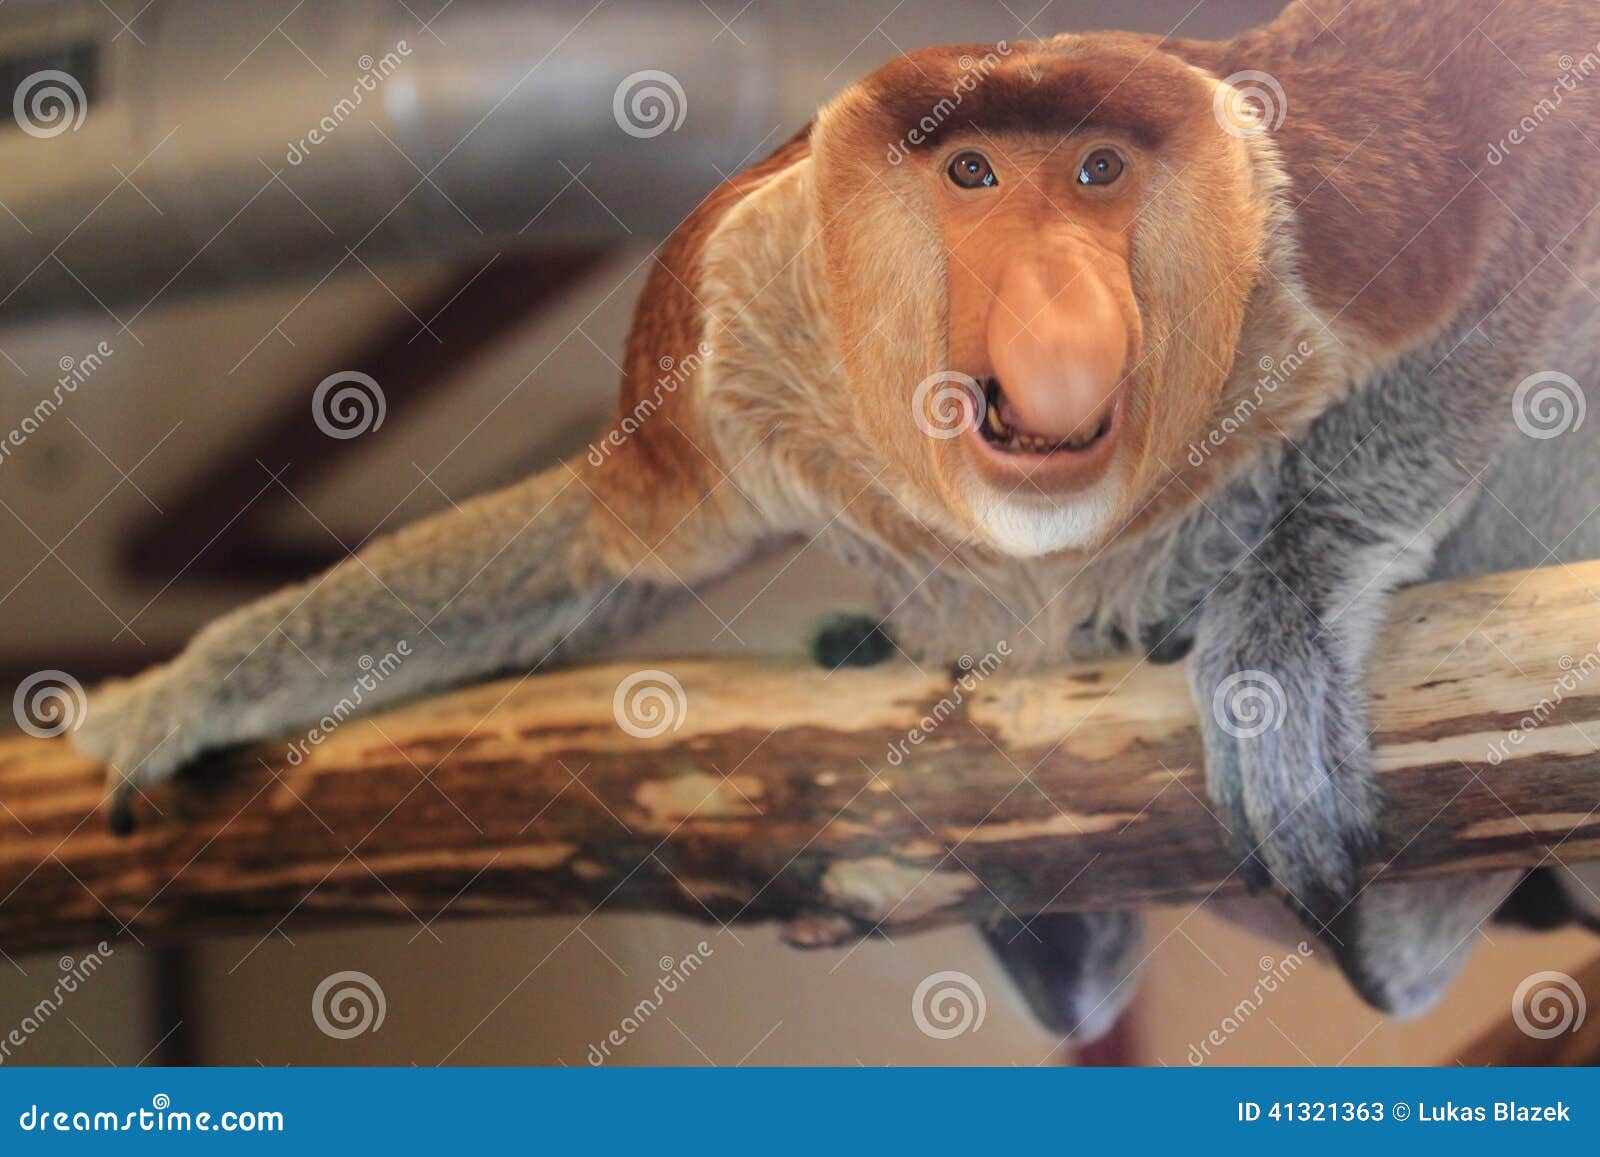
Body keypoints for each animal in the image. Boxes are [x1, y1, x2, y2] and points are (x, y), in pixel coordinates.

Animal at [72, 0, 1600, 1037]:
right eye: (971, 177)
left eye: (1099, 174)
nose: (1062, 302)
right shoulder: (740, 330)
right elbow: (596, 540)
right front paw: (180, 691)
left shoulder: (1293, 195)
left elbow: (1526, 109)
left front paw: (1281, 616)